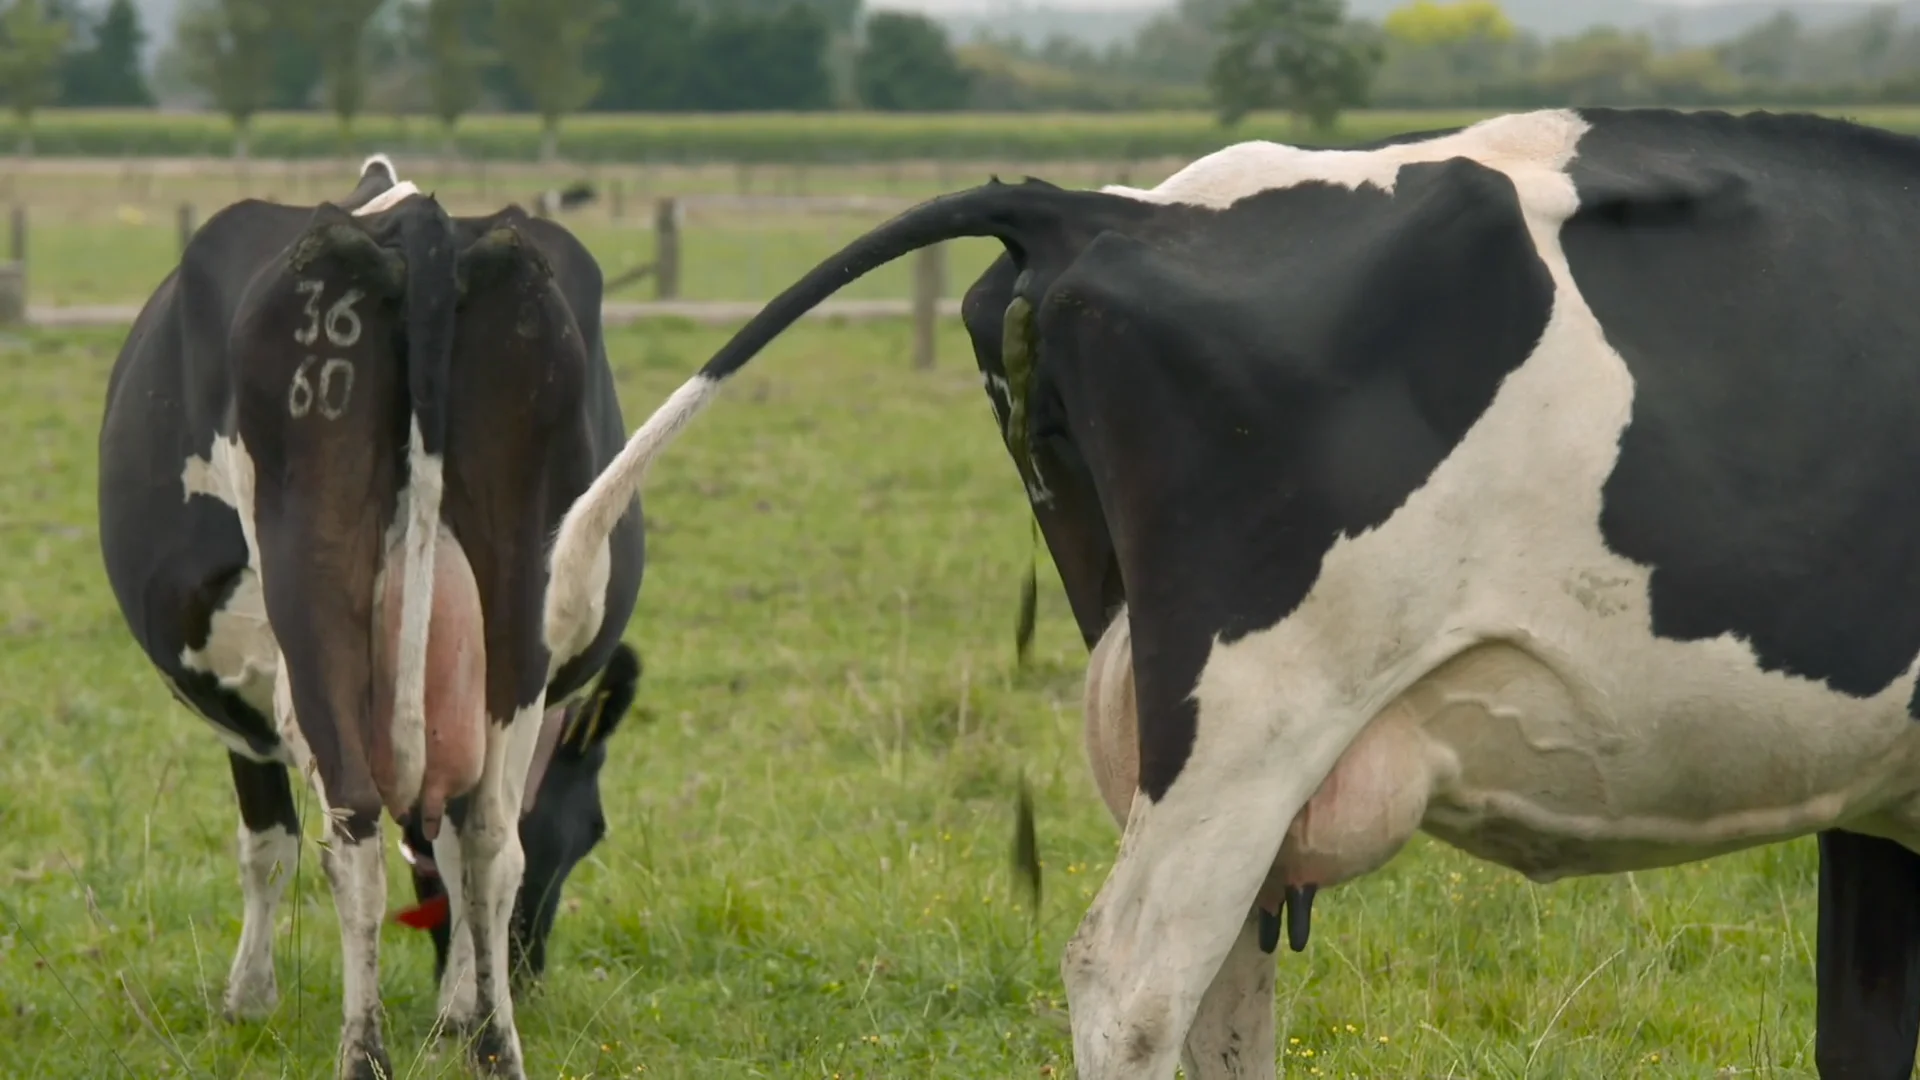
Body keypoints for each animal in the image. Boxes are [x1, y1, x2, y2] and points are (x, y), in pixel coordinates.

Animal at [96, 155, 646, 1080]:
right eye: (594, 832)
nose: (529, 972)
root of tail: (420, 224)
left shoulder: (249, 684)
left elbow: (269, 840)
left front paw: (248, 1000)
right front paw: (459, 1010)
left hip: (314, 585)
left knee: (351, 835)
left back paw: (367, 1053)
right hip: (515, 604)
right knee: (487, 837)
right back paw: (496, 1046)